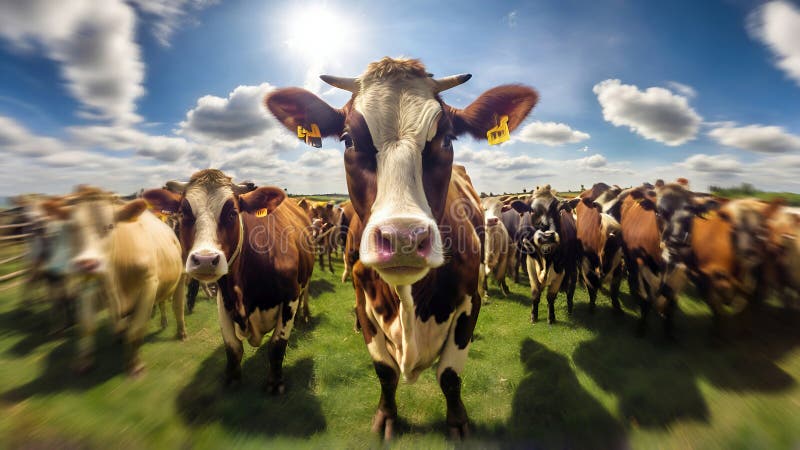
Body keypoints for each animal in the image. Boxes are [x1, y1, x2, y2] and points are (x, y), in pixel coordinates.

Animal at [47, 186, 185, 375]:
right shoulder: (89, 287)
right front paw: (84, 362)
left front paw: (135, 365)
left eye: (110, 226)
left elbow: (137, 328)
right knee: (157, 304)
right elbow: (87, 325)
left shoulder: (149, 285)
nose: (87, 264)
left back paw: (181, 332)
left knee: (177, 306)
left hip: (180, 279)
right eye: (72, 227)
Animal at [144, 169, 314, 392]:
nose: (205, 260)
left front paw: (275, 383)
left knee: (305, 294)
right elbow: (233, 347)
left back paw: (305, 315)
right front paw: (232, 379)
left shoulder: (290, 298)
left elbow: (277, 345)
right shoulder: (224, 300)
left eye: (232, 213)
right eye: (184, 213)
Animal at [265, 56, 537, 439]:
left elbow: (449, 375)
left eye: (446, 139)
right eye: (348, 140)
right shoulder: (364, 300)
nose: (403, 238)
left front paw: (458, 422)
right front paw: (386, 417)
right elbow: (385, 371)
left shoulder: (469, 302)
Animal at [510, 185, 578, 324]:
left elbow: (551, 296)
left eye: (560, 210)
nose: (547, 236)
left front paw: (551, 316)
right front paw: (533, 316)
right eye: (531, 211)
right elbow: (535, 294)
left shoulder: (560, 270)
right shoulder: (531, 266)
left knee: (571, 286)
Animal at [575, 183, 623, 314]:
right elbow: (591, 287)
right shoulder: (587, 261)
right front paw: (591, 306)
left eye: (619, 204)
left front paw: (617, 308)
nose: (613, 234)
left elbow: (614, 289)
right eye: (595, 205)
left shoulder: (619, 264)